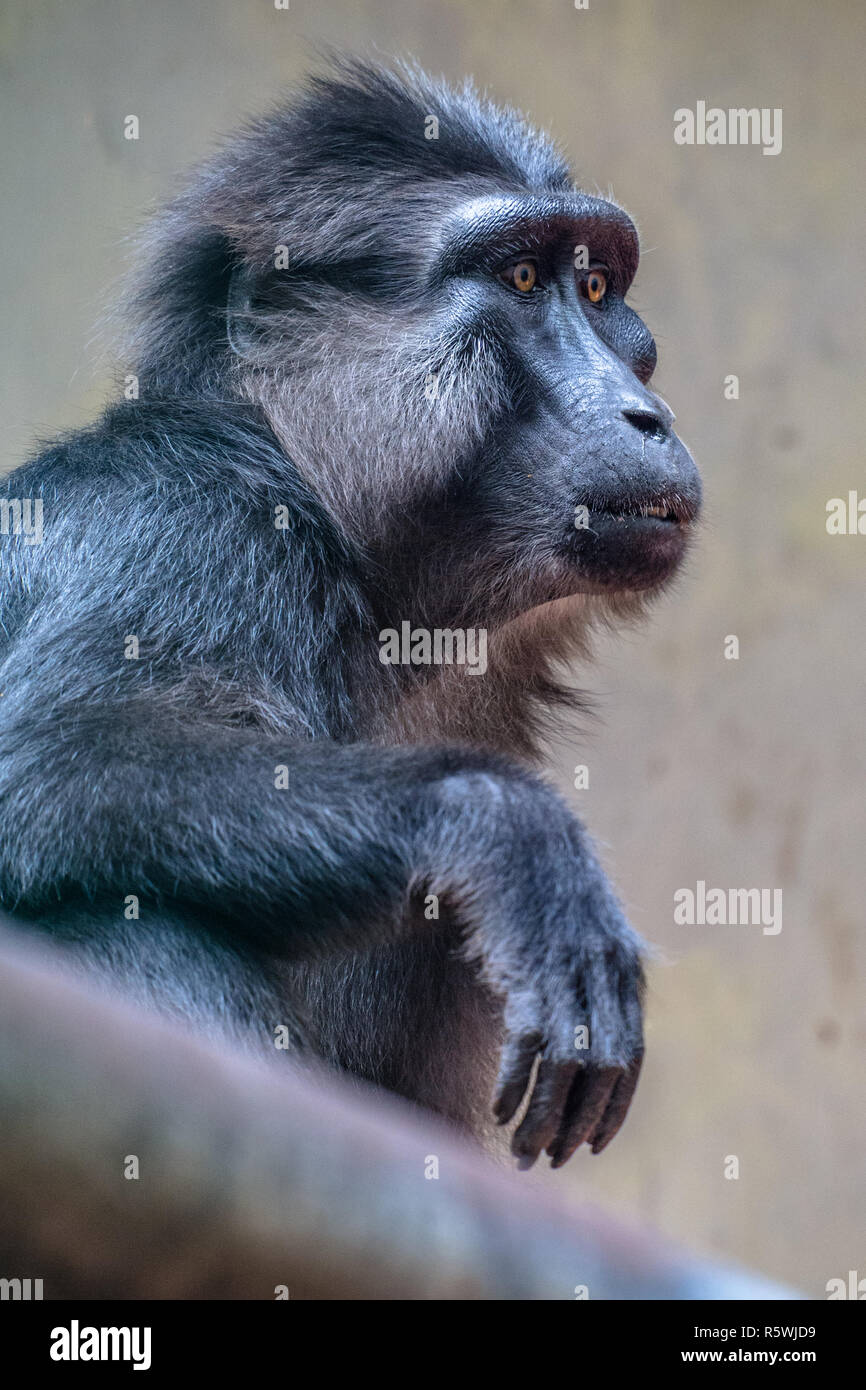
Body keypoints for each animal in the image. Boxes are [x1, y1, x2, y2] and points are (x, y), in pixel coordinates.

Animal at [0, 59, 700, 1170]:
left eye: (594, 289)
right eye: (520, 280)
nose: (649, 417)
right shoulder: (188, 518)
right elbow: (58, 757)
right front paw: (497, 824)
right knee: (128, 924)